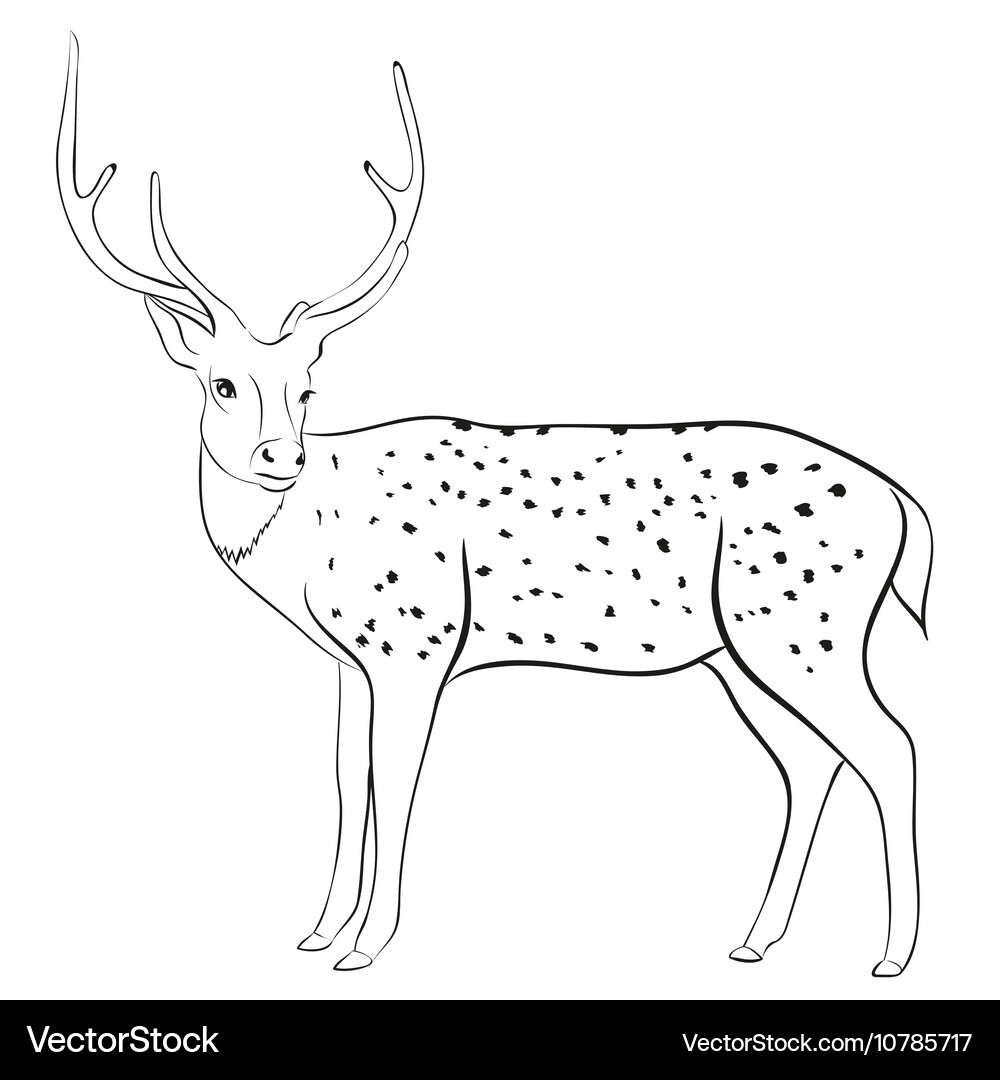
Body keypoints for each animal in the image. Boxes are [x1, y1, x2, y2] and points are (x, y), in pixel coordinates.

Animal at [57, 34, 932, 976]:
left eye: (307, 389)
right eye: (221, 384)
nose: (280, 456)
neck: (309, 553)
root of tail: (903, 506)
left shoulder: (415, 644)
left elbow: (395, 781)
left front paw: (366, 945)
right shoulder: (349, 665)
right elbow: (346, 781)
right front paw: (318, 930)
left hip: (804, 629)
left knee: (890, 746)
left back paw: (892, 955)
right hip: (743, 651)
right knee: (811, 762)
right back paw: (755, 940)